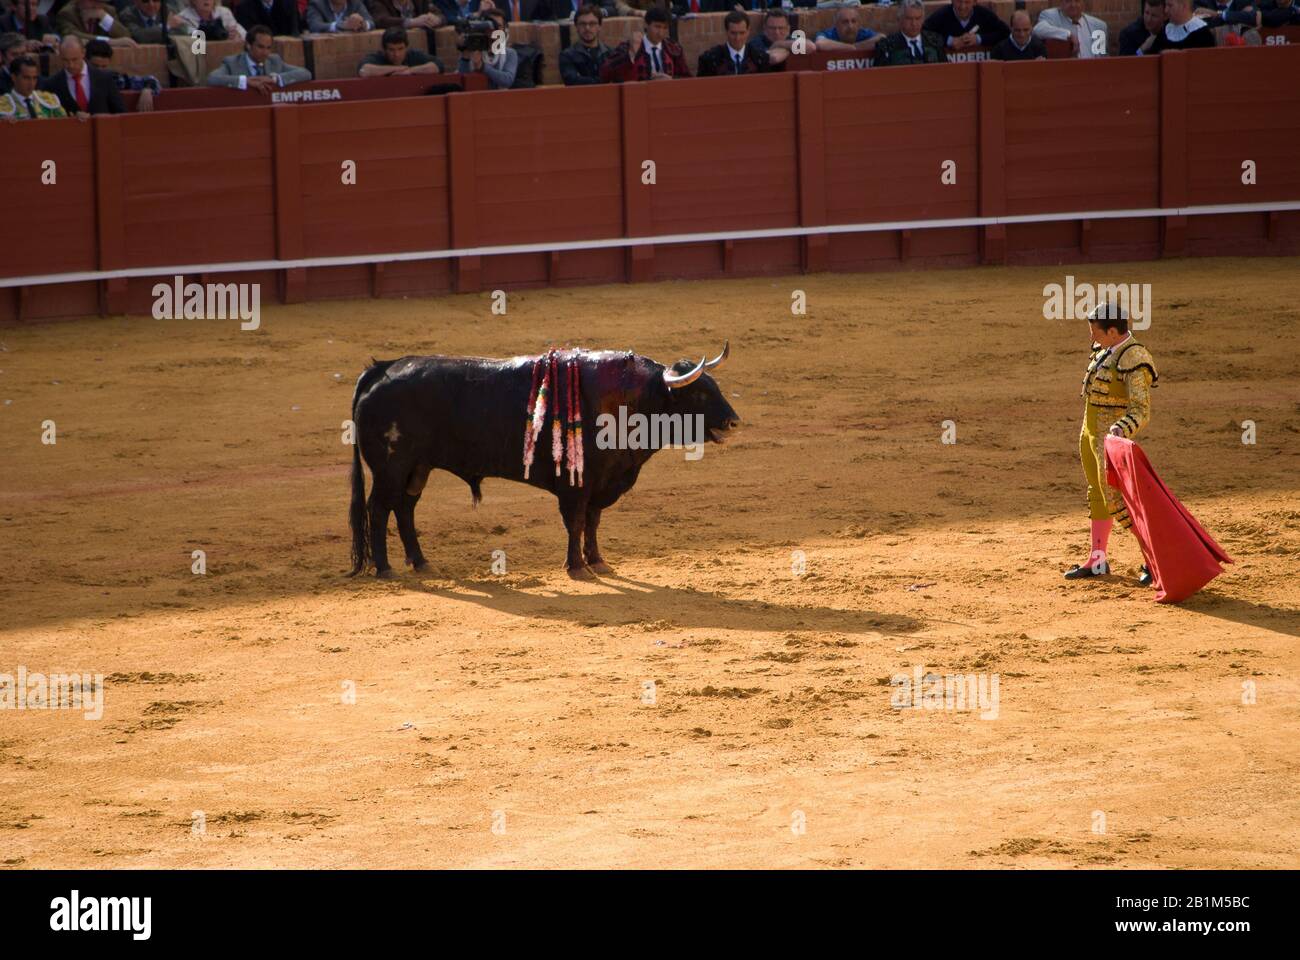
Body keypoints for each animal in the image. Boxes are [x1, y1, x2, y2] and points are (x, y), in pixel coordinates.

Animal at [347, 344, 740, 579]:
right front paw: (577, 567)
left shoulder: (601, 482)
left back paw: (421, 561)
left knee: (405, 508)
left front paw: (598, 561)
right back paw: (385, 569)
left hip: (417, 468)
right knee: (378, 509)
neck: (627, 400)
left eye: (715, 386)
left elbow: (593, 522)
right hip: (390, 468)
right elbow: (576, 521)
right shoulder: (577, 485)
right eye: (699, 392)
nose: (734, 421)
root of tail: (382, 369)